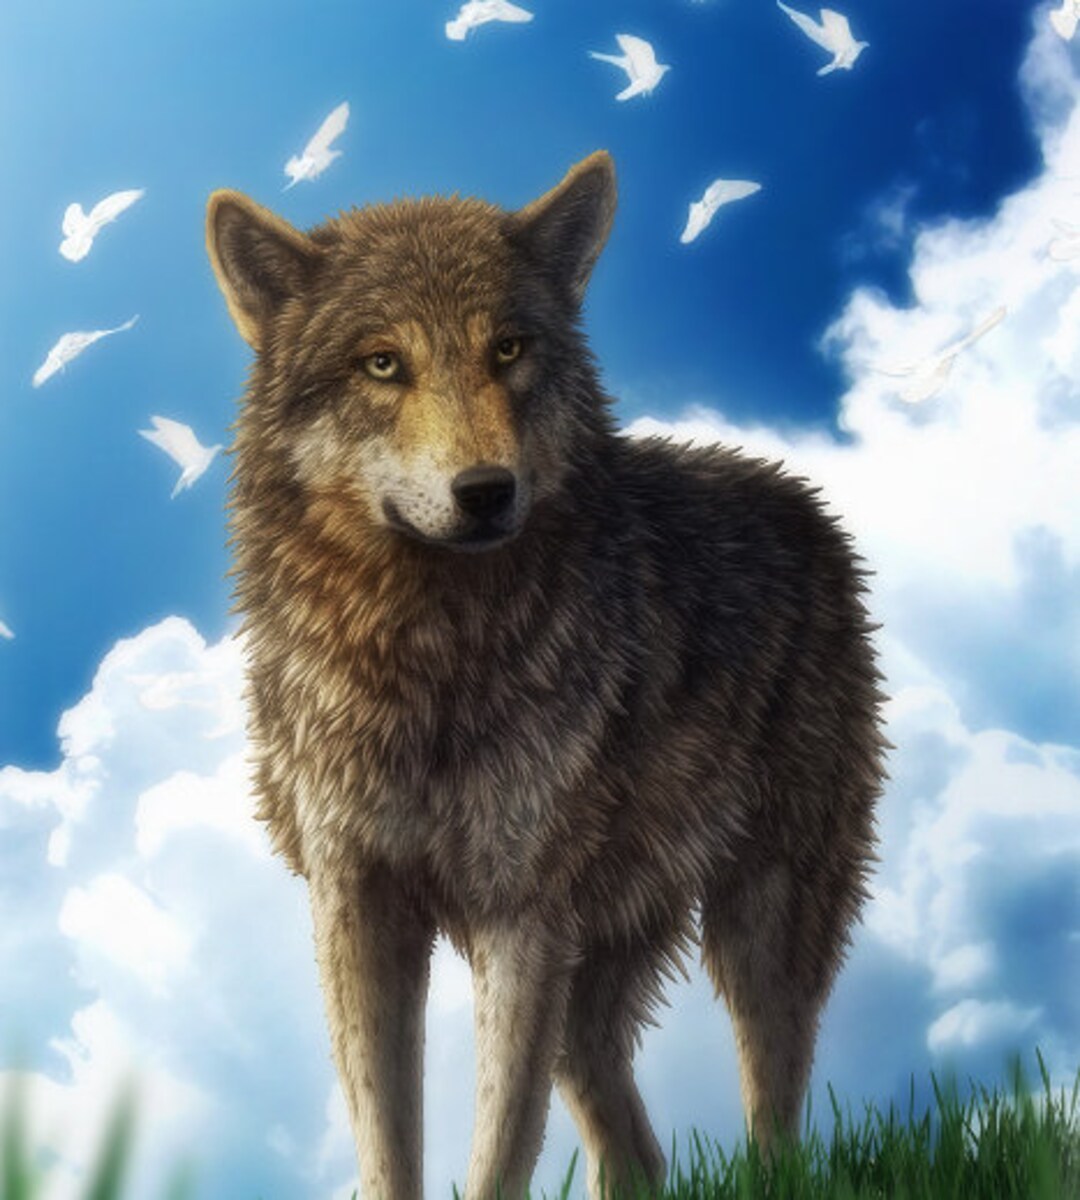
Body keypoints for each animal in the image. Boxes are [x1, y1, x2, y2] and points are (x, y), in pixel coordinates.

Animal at [206, 152, 886, 1200]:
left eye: (509, 348)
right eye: (382, 363)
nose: (487, 491)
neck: (425, 658)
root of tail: (795, 493)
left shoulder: (519, 915)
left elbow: (497, 1146)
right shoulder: (354, 904)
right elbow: (387, 1132)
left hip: (760, 923)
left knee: (776, 1099)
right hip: (598, 961)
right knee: (629, 1135)